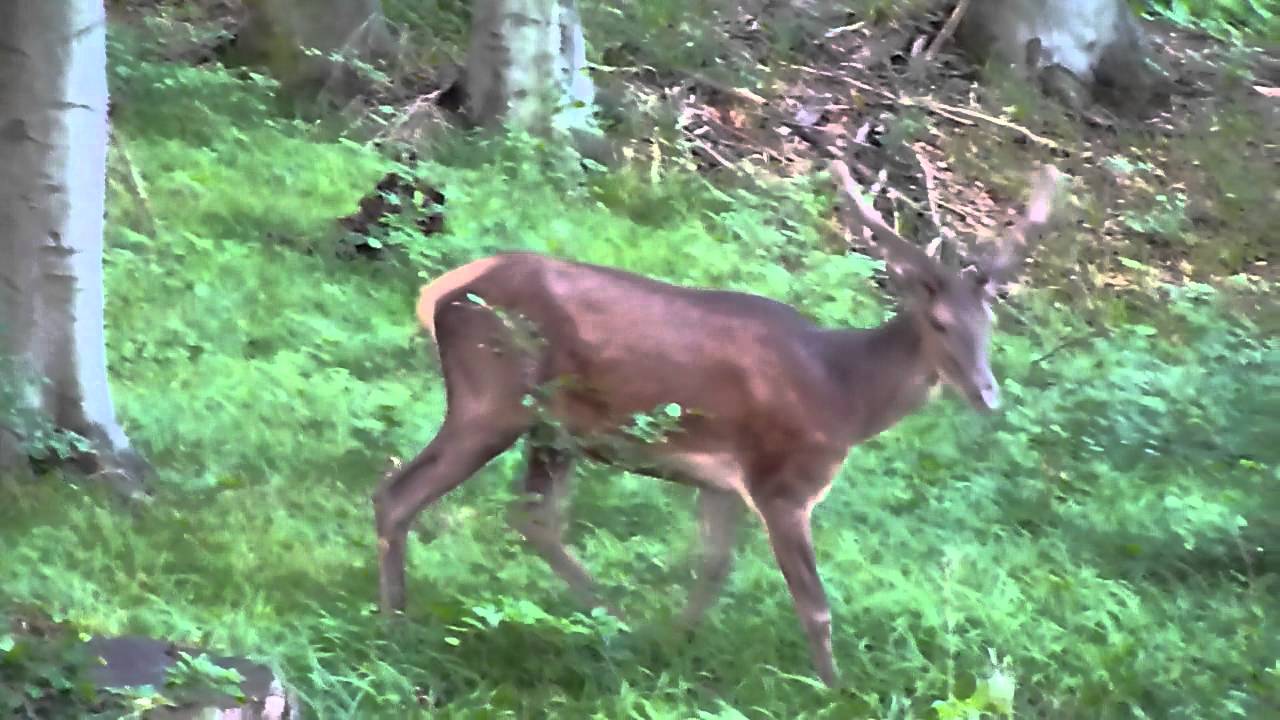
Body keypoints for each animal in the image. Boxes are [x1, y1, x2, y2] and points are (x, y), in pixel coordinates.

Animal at [373, 159, 1063, 687]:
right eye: (939, 323)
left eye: (989, 322)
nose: (987, 394)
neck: (844, 395)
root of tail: (441, 291)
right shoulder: (782, 485)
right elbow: (815, 606)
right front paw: (835, 691)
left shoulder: (721, 481)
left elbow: (712, 570)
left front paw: (678, 647)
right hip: (492, 397)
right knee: (397, 493)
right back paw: (396, 628)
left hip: (551, 429)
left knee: (531, 518)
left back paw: (614, 623)